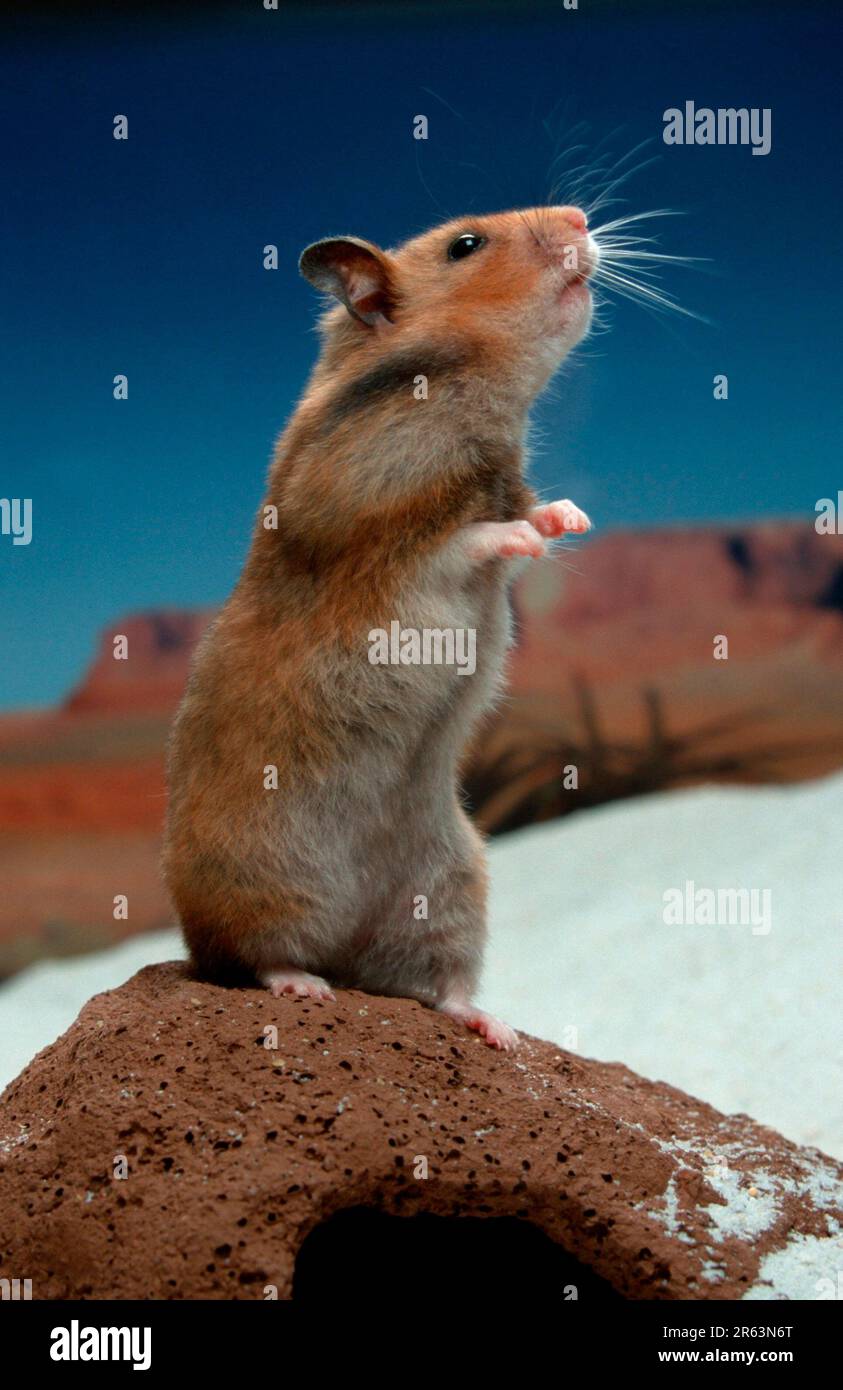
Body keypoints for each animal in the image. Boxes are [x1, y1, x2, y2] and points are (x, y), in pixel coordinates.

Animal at [163, 205, 596, 1050]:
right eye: (466, 245)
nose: (582, 218)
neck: (468, 393)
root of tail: (348, 946)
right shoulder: (391, 547)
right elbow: (475, 537)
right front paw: (528, 536)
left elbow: (527, 514)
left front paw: (572, 519)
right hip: (262, 881)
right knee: (256, 958)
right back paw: (304, 988)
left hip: (452, 885)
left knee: (438, 986)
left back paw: (496, 1030)